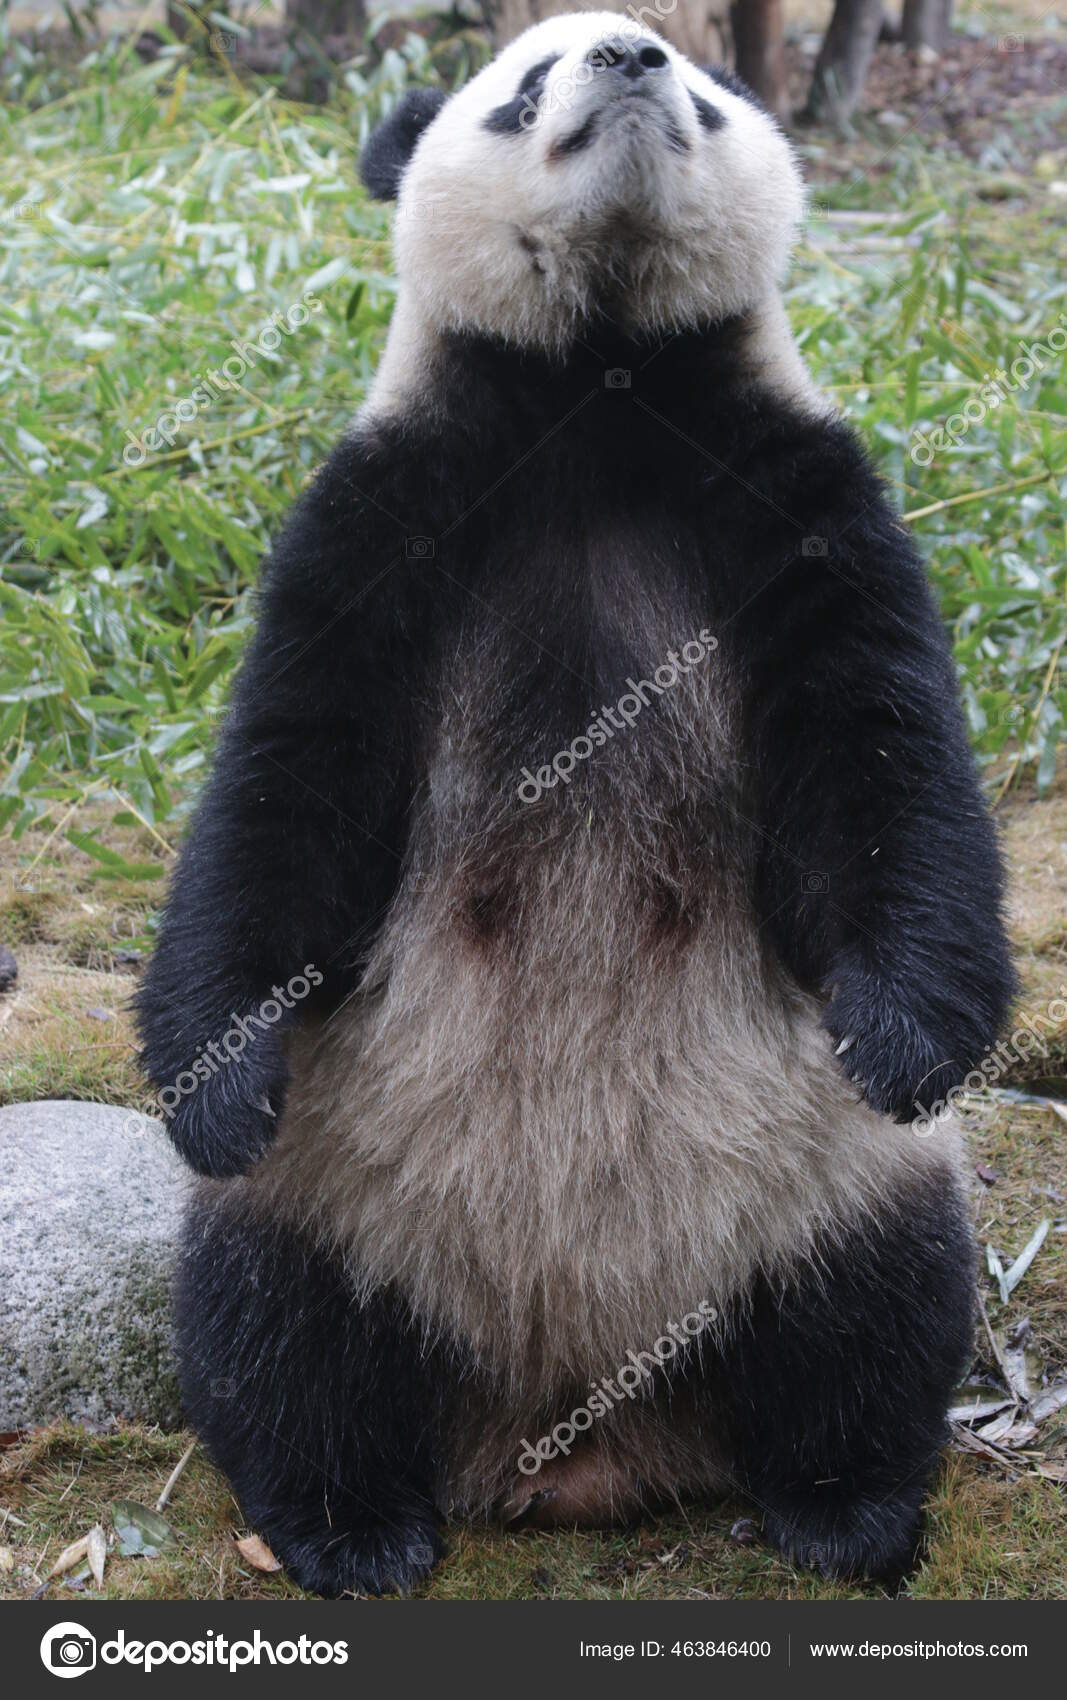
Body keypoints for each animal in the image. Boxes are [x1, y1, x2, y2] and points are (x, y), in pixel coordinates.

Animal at [137, 10, 1014, 1596]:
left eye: (704, 81)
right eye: (522, 85)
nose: (626, 58)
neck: (597, 395)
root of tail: (572, 1433)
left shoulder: (795, 493)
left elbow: (882, 757)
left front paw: (905, 1029)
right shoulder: (389, 508)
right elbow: (286, 791)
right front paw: (218, 1081)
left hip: (821, 1180)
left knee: (874, 1304)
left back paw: (842, 1502)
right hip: (344, 1181)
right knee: (275, 1324)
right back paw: (348, 1523)